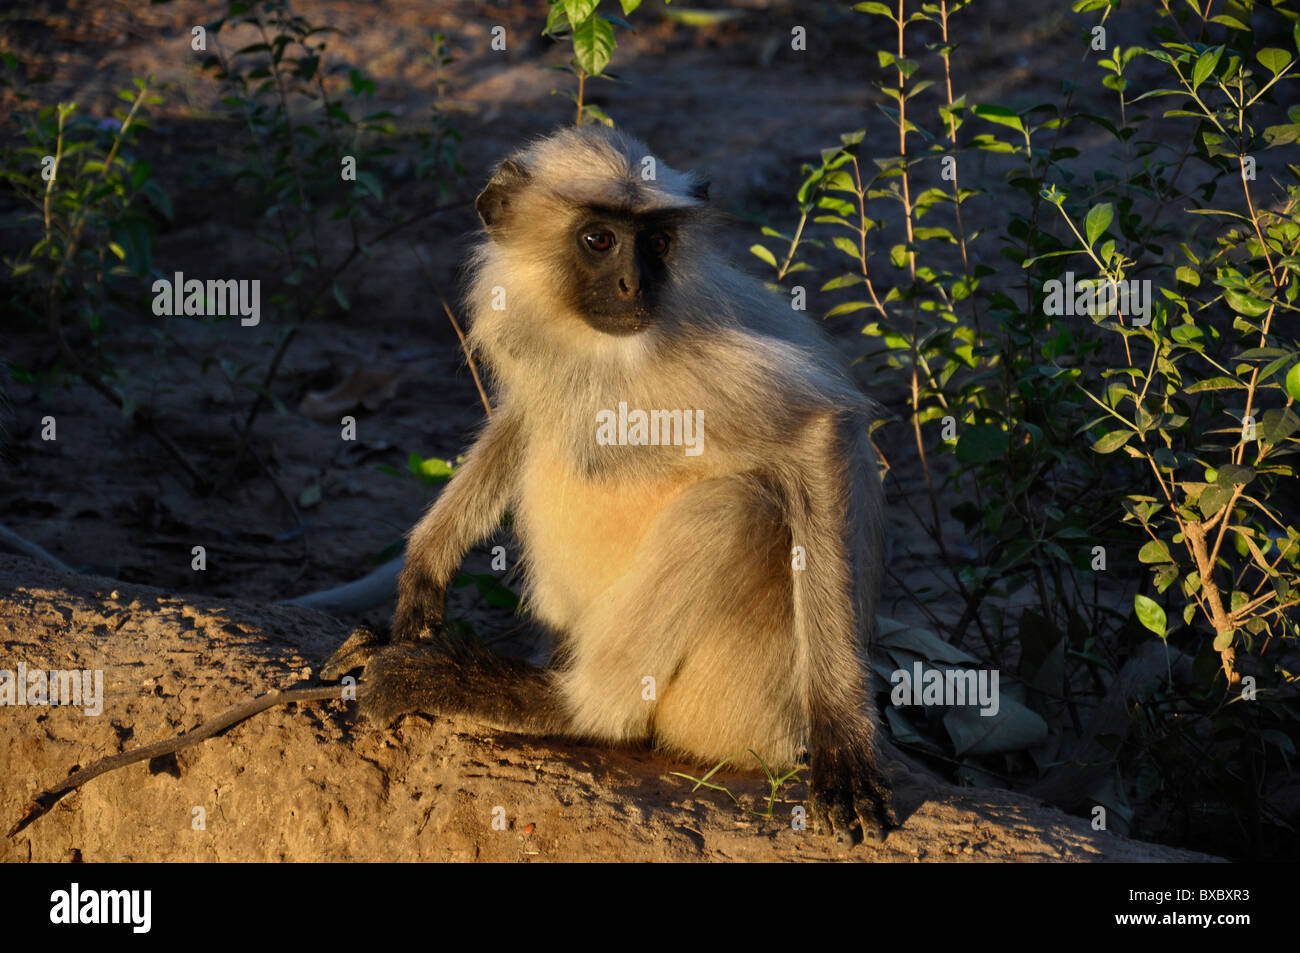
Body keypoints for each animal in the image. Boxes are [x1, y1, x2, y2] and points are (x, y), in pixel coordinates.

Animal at [331, 125, 898, 842]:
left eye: (655, 243)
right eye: (599, 239)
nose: (634, 286)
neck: (594, 347)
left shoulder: (687, 356)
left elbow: (820, 432)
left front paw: (843, 740)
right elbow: (526, 413)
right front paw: (424, 572)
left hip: (742, 699)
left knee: (737, 505)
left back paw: (544, 701)